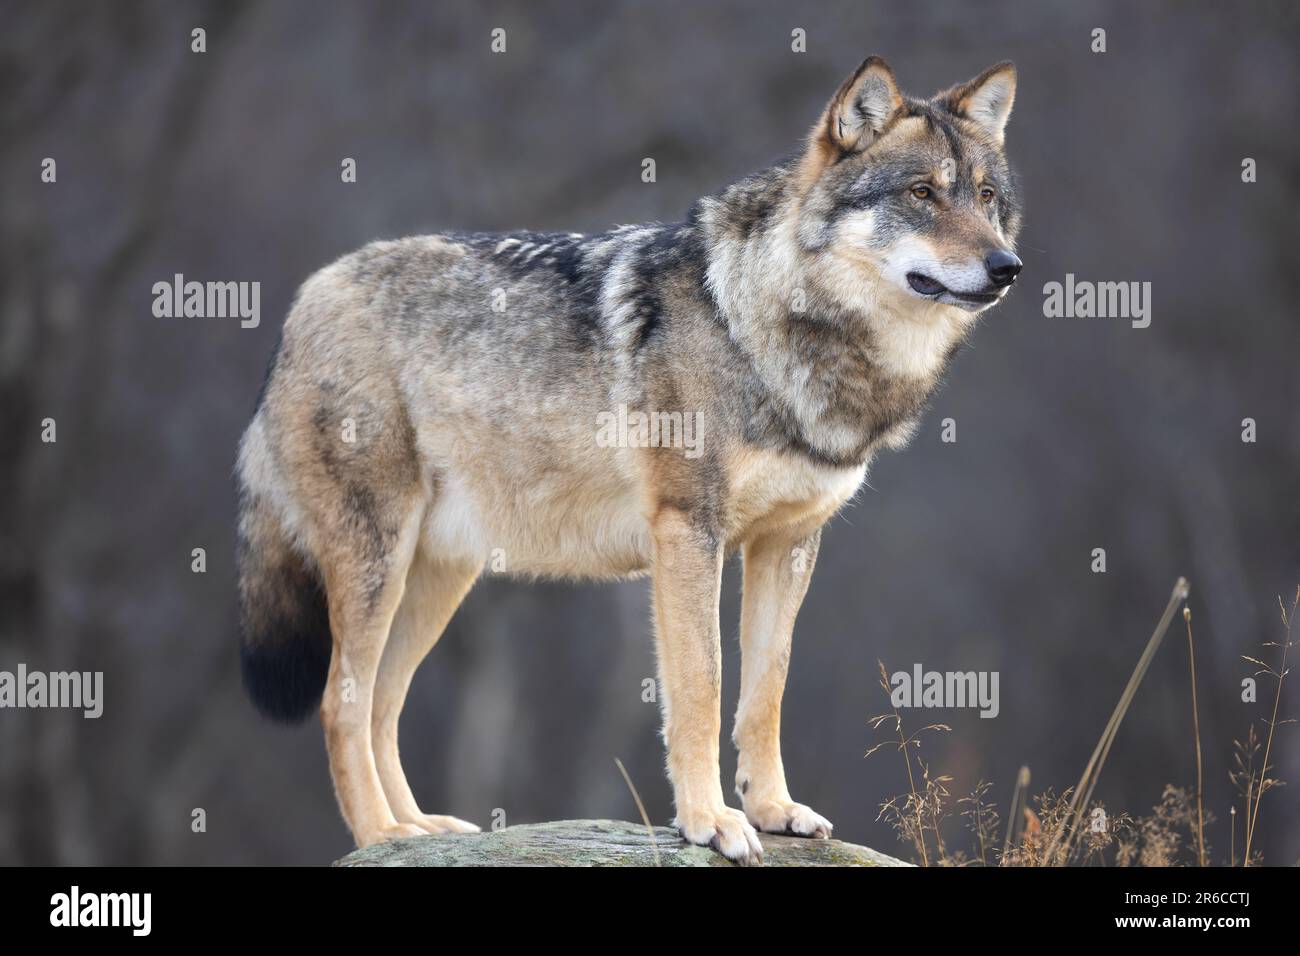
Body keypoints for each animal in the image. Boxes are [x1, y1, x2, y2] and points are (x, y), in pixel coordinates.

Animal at [236, 56, 1022, 865]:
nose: (1008, 267)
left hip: (438, 579)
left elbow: (765, 690)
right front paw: (712, 822)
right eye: (922, 193)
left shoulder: (789, 544)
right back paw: (378, 835)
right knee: (340, 704)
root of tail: (306, 296)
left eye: (987, 197)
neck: (765, 326)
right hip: (378, 565)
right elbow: (703, 687)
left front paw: (773, 810)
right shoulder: (687, 532)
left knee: (382, 706)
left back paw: (418, 831)